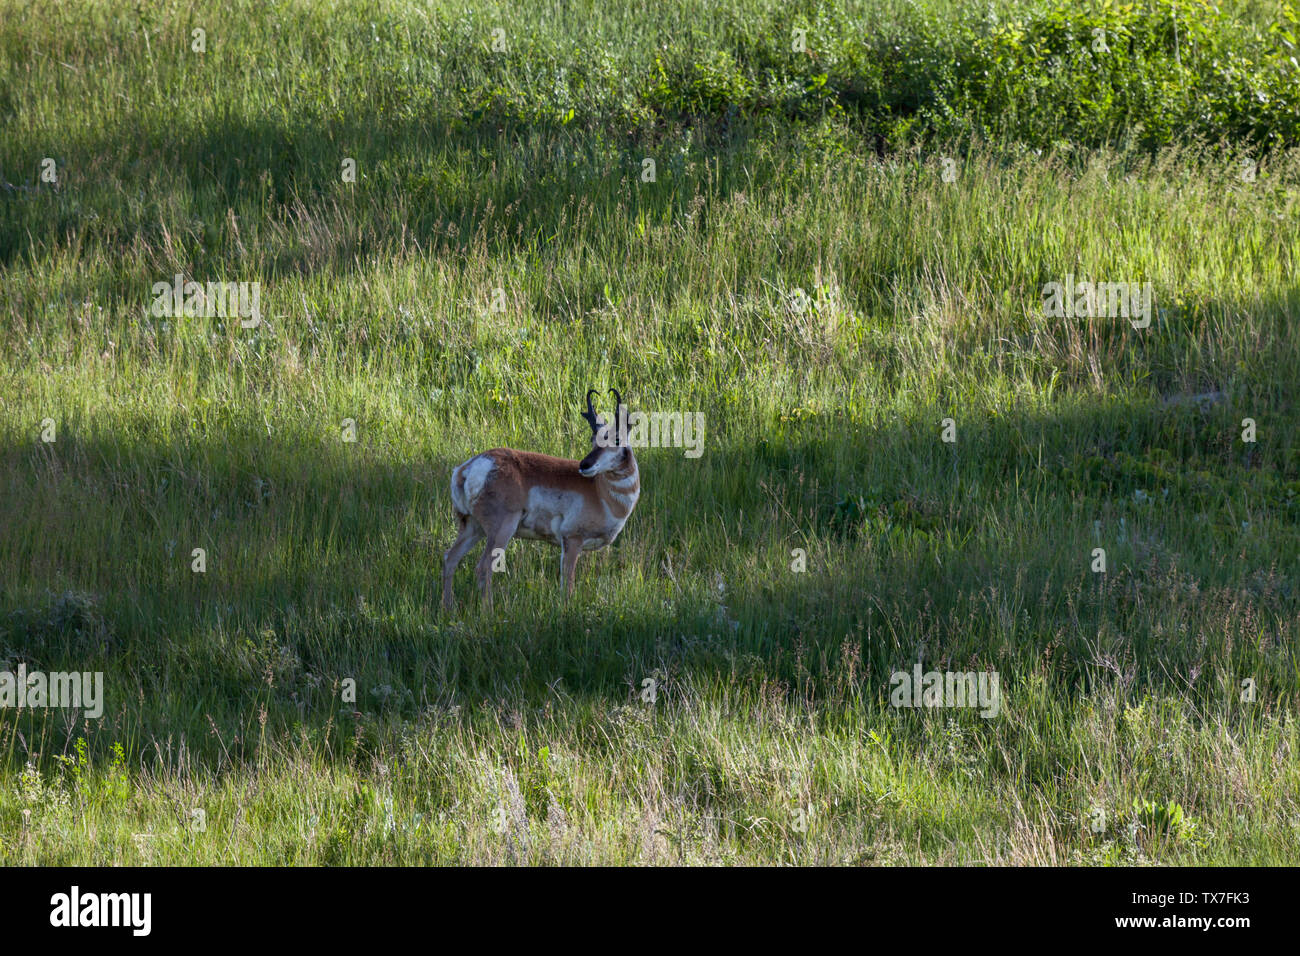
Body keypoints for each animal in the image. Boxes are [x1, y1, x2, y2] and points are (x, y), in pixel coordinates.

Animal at [442, 388, 640, 611]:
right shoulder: (572, 540)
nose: (584, 465)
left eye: (617, 440)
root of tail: (468, 468)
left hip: (472, 527)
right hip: (501, 529)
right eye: (593, 439)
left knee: (450, 558)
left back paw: (448, 608)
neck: (599, 491)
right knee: (483, 567)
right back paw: (489, 611)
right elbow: (567, 584)